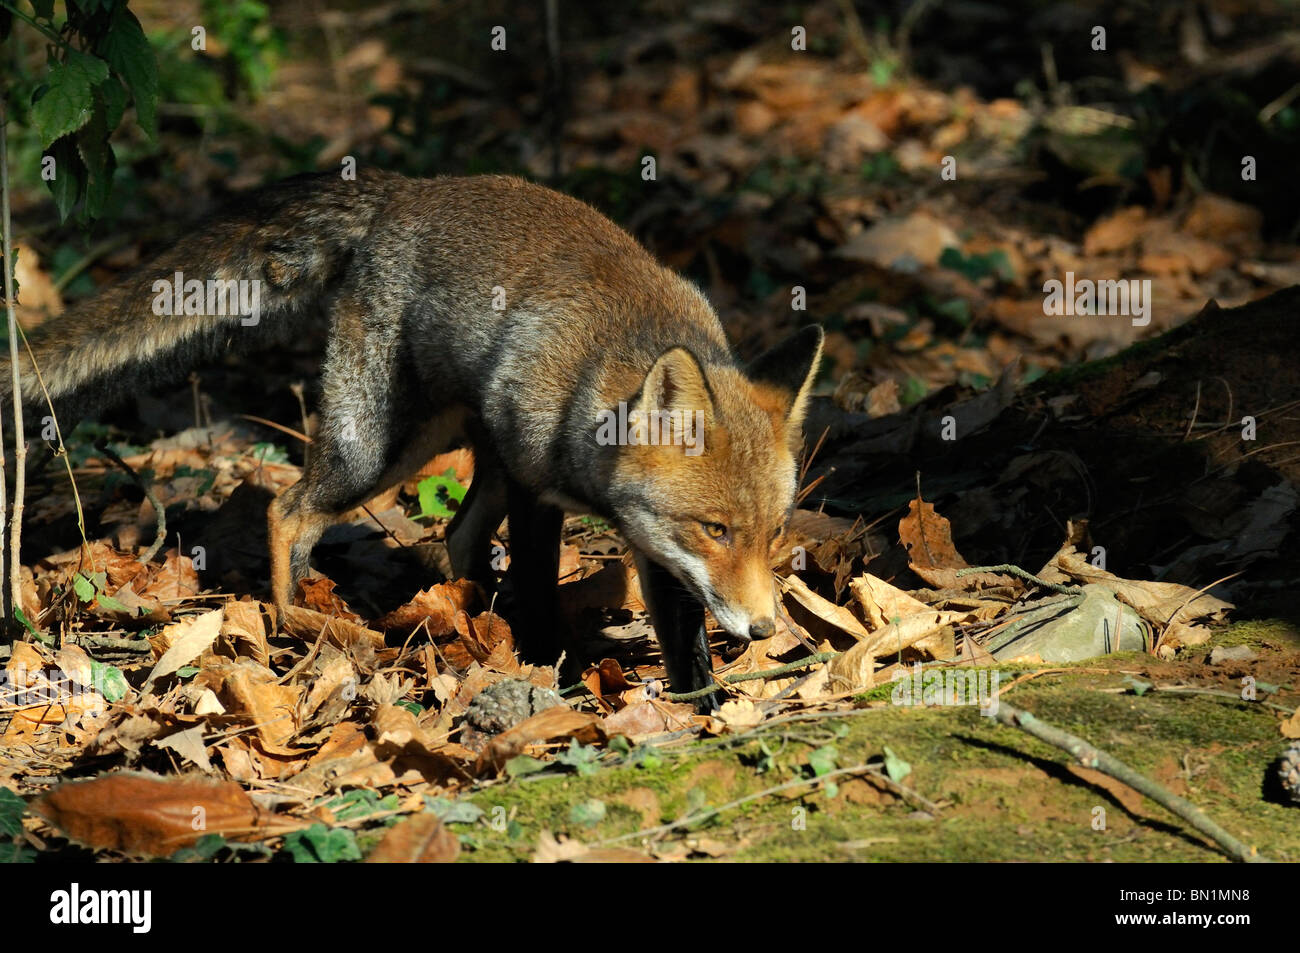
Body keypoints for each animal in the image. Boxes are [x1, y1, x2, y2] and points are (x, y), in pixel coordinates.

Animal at [4, 169, 823, 709]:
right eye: (716, 529)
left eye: (773, 532)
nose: (764, 627)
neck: (594, 383)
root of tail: (406, 186)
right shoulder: (536, 489)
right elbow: (538, 588)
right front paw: (551, 667)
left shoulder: (651, 541)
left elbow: (683, 628)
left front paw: (705, 704)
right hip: (379, 449)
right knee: (287, 510)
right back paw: (296, 618)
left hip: (451, 446)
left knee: (455, 537)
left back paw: (463, 613)